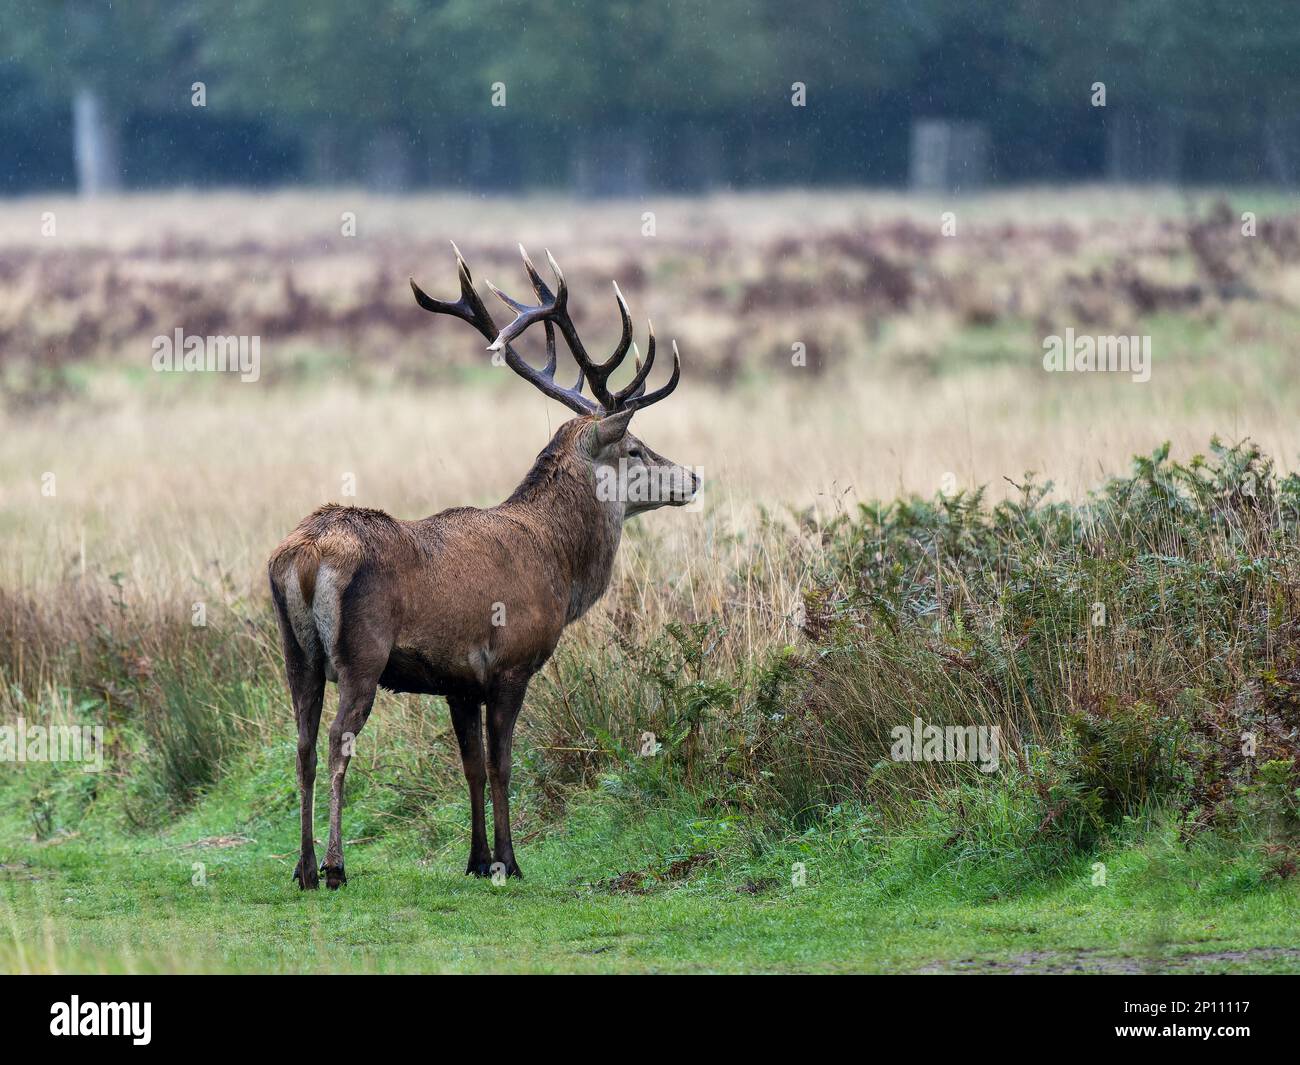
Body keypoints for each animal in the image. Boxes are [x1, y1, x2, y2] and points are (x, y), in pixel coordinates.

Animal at [268, 244, 699, 889]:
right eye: (635, 448)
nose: (693, 477)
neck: (557, 565)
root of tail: (304, 554)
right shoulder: (511, 663)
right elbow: (502, 766)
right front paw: (509, 861)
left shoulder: (458, 682)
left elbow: (469, 766)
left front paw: (475, 859)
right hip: (360, 651)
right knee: (340, 744)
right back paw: (336, 866)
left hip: (297, 653)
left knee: (301, 746)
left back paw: (303, 868)